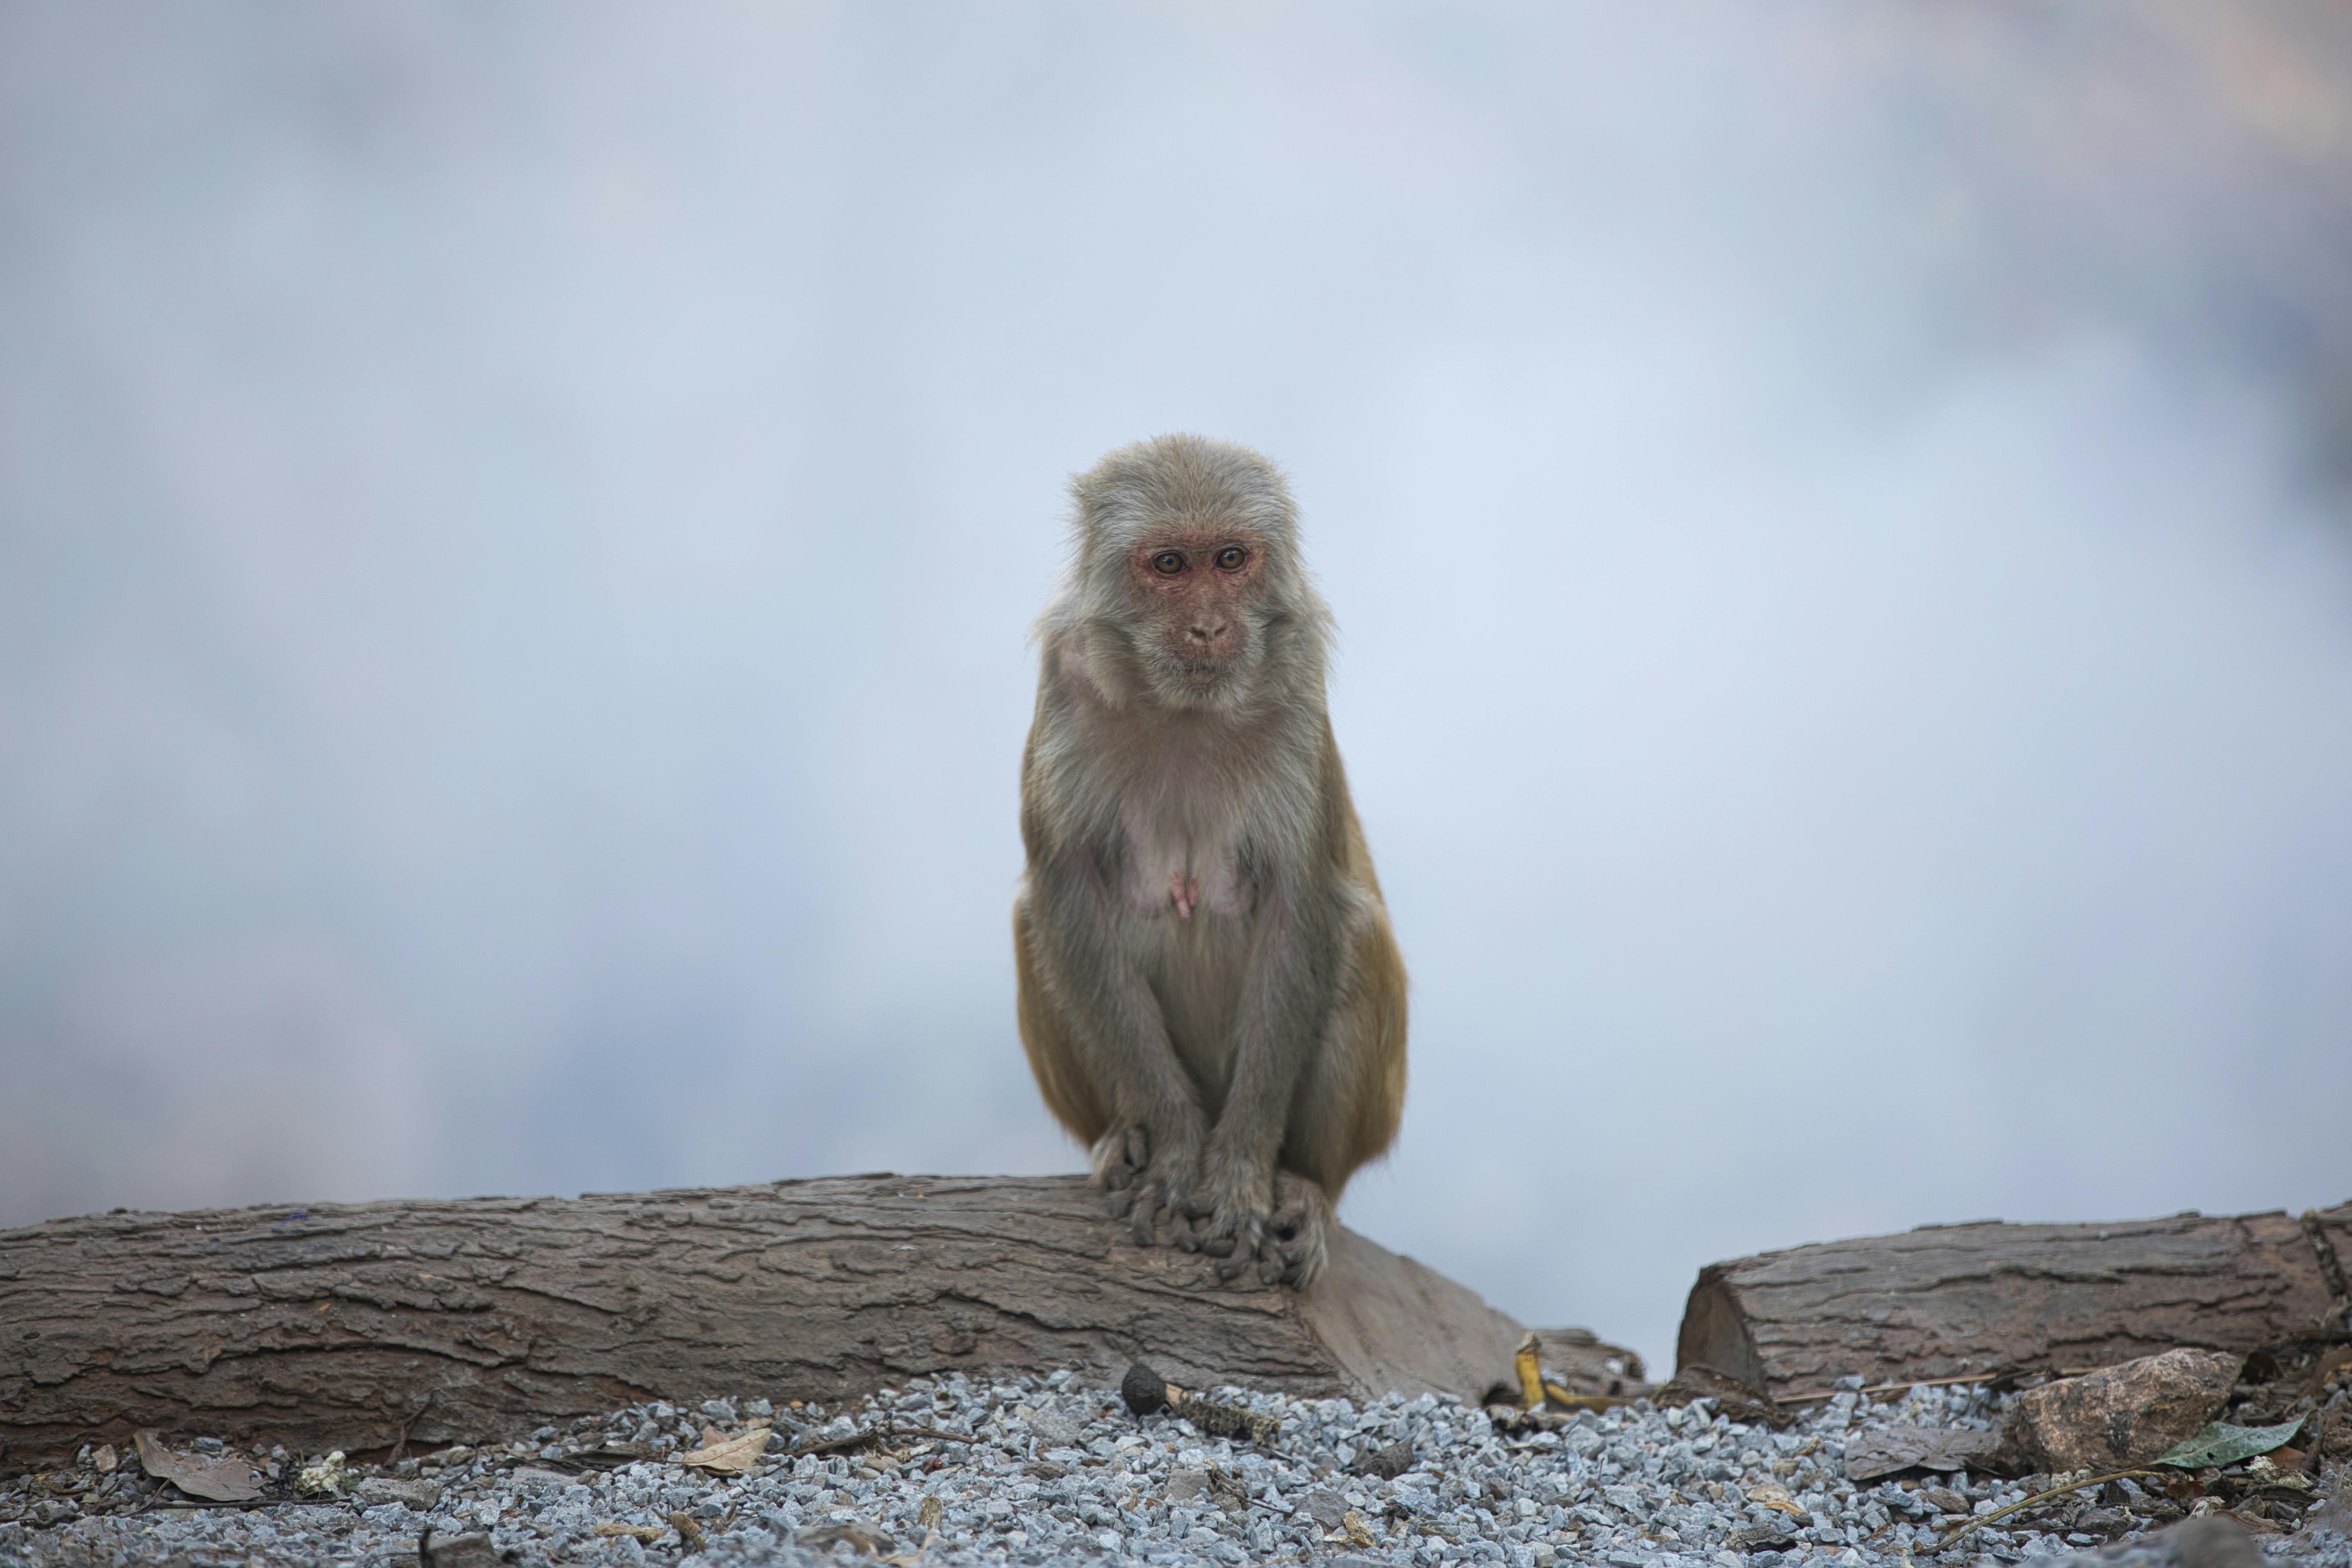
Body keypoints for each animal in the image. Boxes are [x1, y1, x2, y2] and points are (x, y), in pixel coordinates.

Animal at [1011, 433, 1408, 1289]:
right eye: (1168, 564)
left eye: (1230, 559)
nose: (1206, 627)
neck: (1182, 707)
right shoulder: (1064, 680)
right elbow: (1067, 893)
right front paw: (1171, 1144)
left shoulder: (1297, 691)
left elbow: (1303, 906)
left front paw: (1238, 1173)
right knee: (1034, 918)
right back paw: (1121, 1139)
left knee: (1353, 929)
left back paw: (1307, 1188)